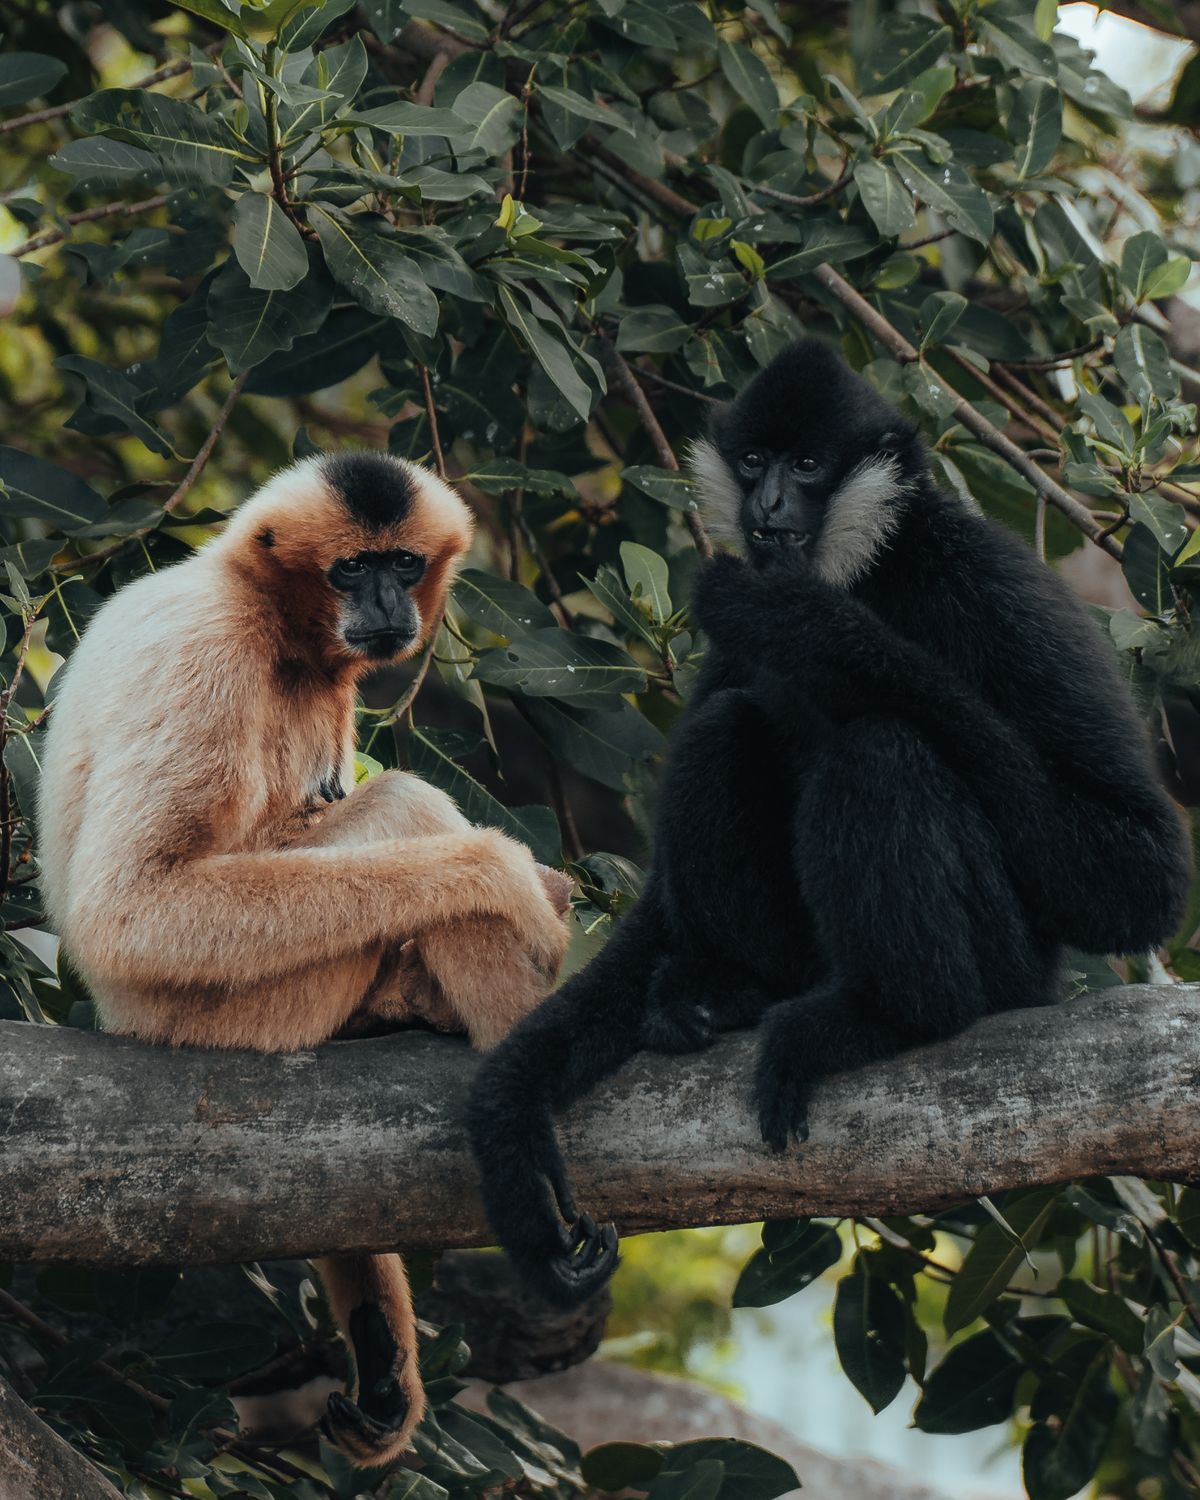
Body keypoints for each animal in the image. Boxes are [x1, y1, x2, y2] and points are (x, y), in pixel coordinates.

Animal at [38, 450, 574, 1467]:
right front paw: (501, 869)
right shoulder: (207, 656)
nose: (386, 602)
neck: (257, 606)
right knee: (406, 803)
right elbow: (131, 907)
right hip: (219, 1007)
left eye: (402, 565)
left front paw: (383, 1361)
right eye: (348, 571)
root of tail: (114, 1018)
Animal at [467, 336, 1191, 1310]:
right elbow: (659, 898)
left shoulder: (986, 578)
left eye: (808, 465)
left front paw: (812, 628)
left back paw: (895, 1015)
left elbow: (1137, 877)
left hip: (1006, 962)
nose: (767, 504)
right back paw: (731, 993)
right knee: (727, 728)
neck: (869, 568)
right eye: (754, 460)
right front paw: (513, 1111)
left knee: (879, 747)